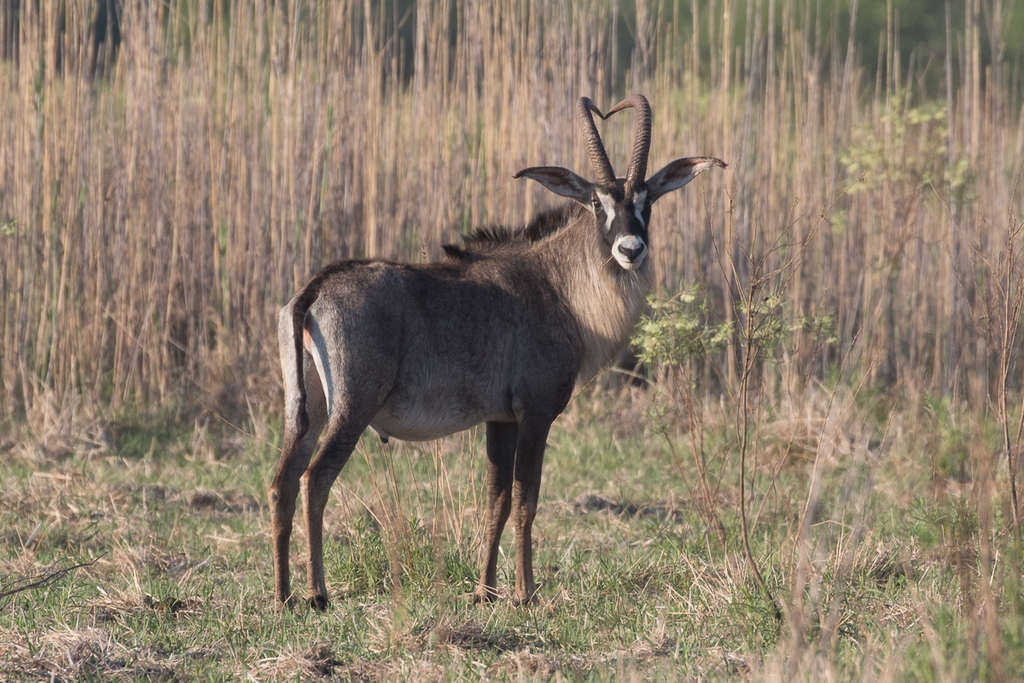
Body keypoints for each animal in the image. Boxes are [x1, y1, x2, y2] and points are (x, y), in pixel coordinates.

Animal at [269, 94, 725, 609]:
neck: (559, 285)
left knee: (284, 481)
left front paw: (484, 591)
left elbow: (497, 502)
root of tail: (315, 289)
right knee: (315, 479)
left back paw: (283, 596)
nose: (631, 249)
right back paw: (317, 593)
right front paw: (525, 593)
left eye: (648, 199)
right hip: (352, 408)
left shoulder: (500, 420)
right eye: (595, 201)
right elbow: (526, 500)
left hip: (305, 411)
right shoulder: (536, 412)